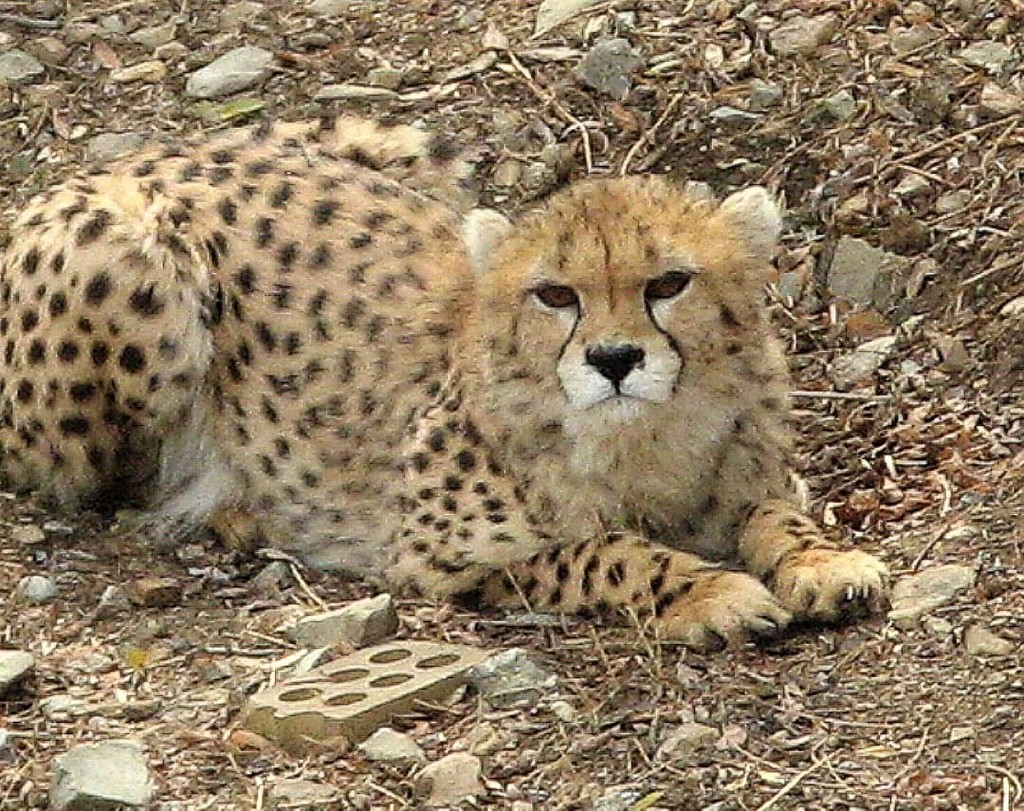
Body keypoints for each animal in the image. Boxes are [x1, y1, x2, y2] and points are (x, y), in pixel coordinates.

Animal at [0, 115, 889, 650]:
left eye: (669, 283)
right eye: (555, 295)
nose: (613, 360)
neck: (645, 437)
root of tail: (136, 158)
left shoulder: (760, 473)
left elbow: (774, 511)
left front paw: (824, 562)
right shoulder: (432, 557)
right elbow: (602, 550)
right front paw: (711, 592)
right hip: (130, 259)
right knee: (78, 473)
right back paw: (229, 503)